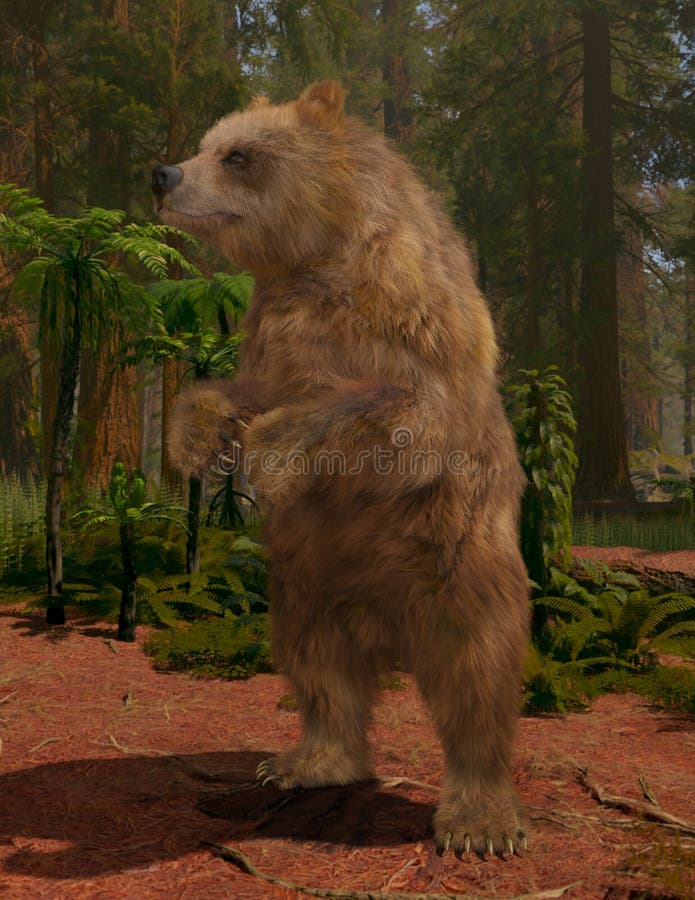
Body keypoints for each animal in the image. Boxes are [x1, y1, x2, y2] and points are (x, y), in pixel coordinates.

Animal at [152, 81, 530, 859]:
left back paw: (478, 819)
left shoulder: (414, 323)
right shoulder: (275, 333)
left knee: (477, 672)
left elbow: (405, 413)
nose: (162, 175)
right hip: (307, 579)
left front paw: (272, 450)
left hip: (457, 565)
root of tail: (391, 631)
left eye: (238, 154)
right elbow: (247, 390)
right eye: (206, 142)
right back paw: (307, 760)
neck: (315, 262)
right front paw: (202, 438)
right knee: (319, 666)